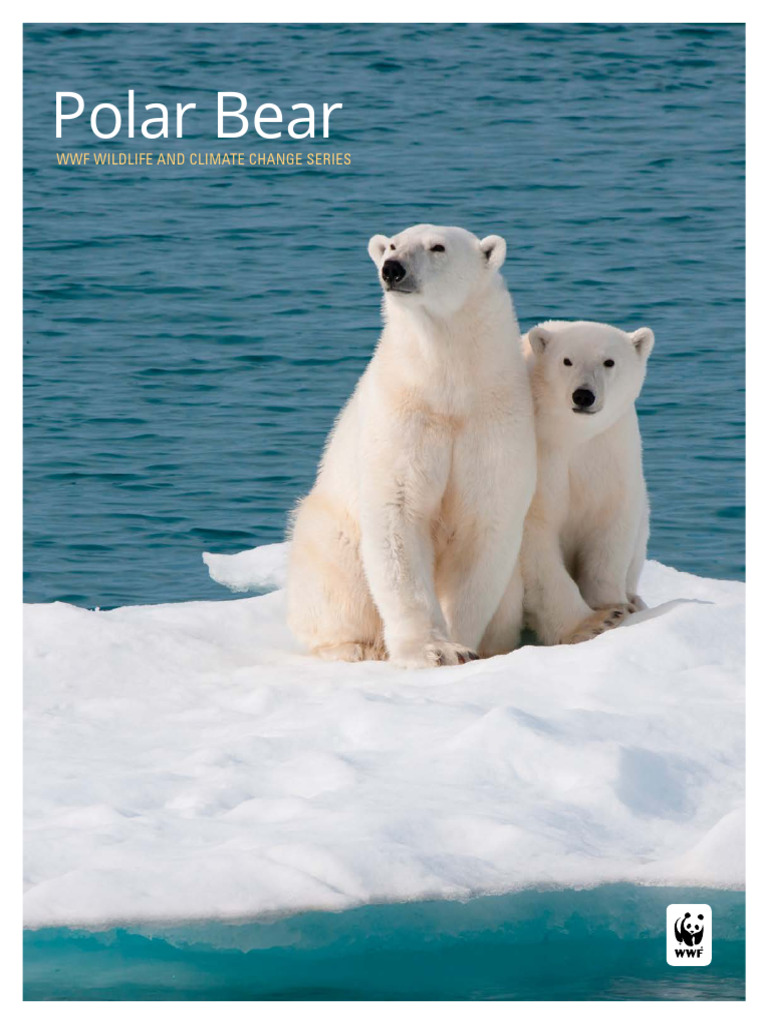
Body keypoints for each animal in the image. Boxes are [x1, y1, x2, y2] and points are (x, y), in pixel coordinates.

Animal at [286, 224, 537, 668]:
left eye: (437, 247)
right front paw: (434, 650)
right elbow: (398, 515)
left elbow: (483, 527)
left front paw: (462, 643)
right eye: (392, 244)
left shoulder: (493, 424)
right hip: (329, 532)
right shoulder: (403, 417)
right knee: (336, 581)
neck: (449, 388)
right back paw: (355, 646)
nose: (393, 268)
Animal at [518, 319, 654, 645]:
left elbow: (609, 526)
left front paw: (614, 606)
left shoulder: (610, 449)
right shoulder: (541, 463)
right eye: (567, 360)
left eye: (609, 361)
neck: (570, 433)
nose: (583, 395)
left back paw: (634, 599)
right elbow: (535, 543)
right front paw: (592, 623)